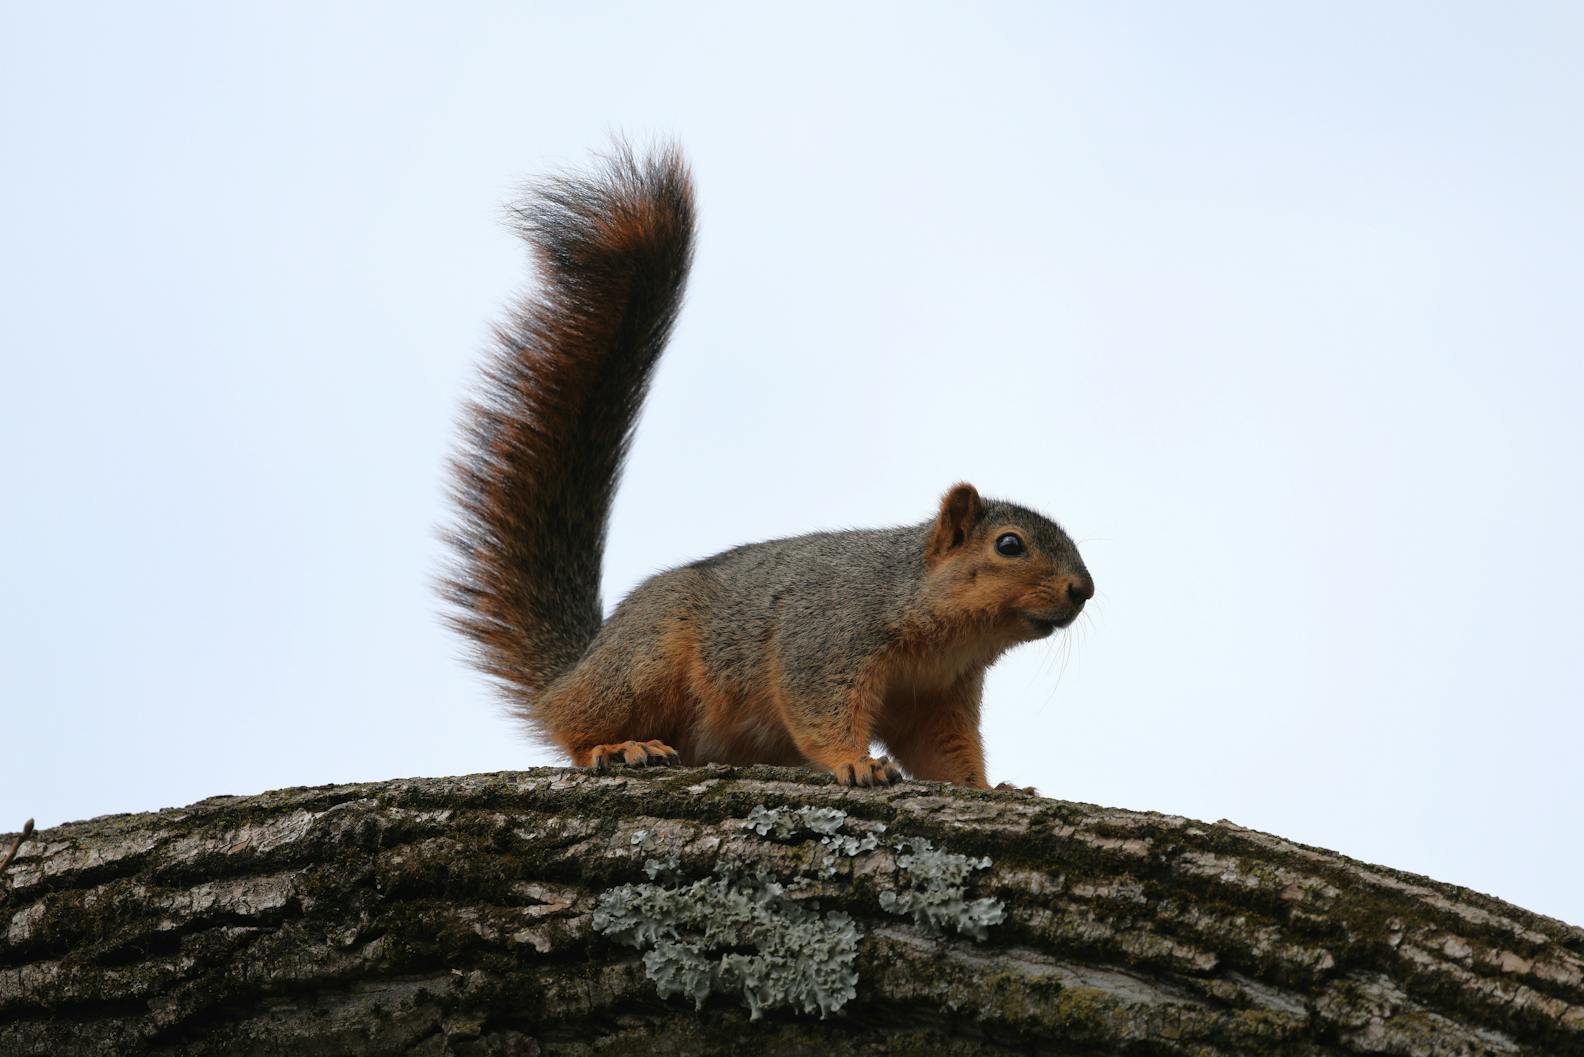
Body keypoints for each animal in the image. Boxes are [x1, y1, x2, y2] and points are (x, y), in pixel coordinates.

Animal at [442, 144, 1094, 789]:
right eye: (1009, 545)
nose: (1083, 590)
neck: (933, 620)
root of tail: (575, 669)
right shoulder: (827, 636)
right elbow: (817, 707)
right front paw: (857, 761)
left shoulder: (935, 698)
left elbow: (948, 754)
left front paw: (991, 786)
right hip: (644, 663)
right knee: (574, 727)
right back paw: (618, 747)